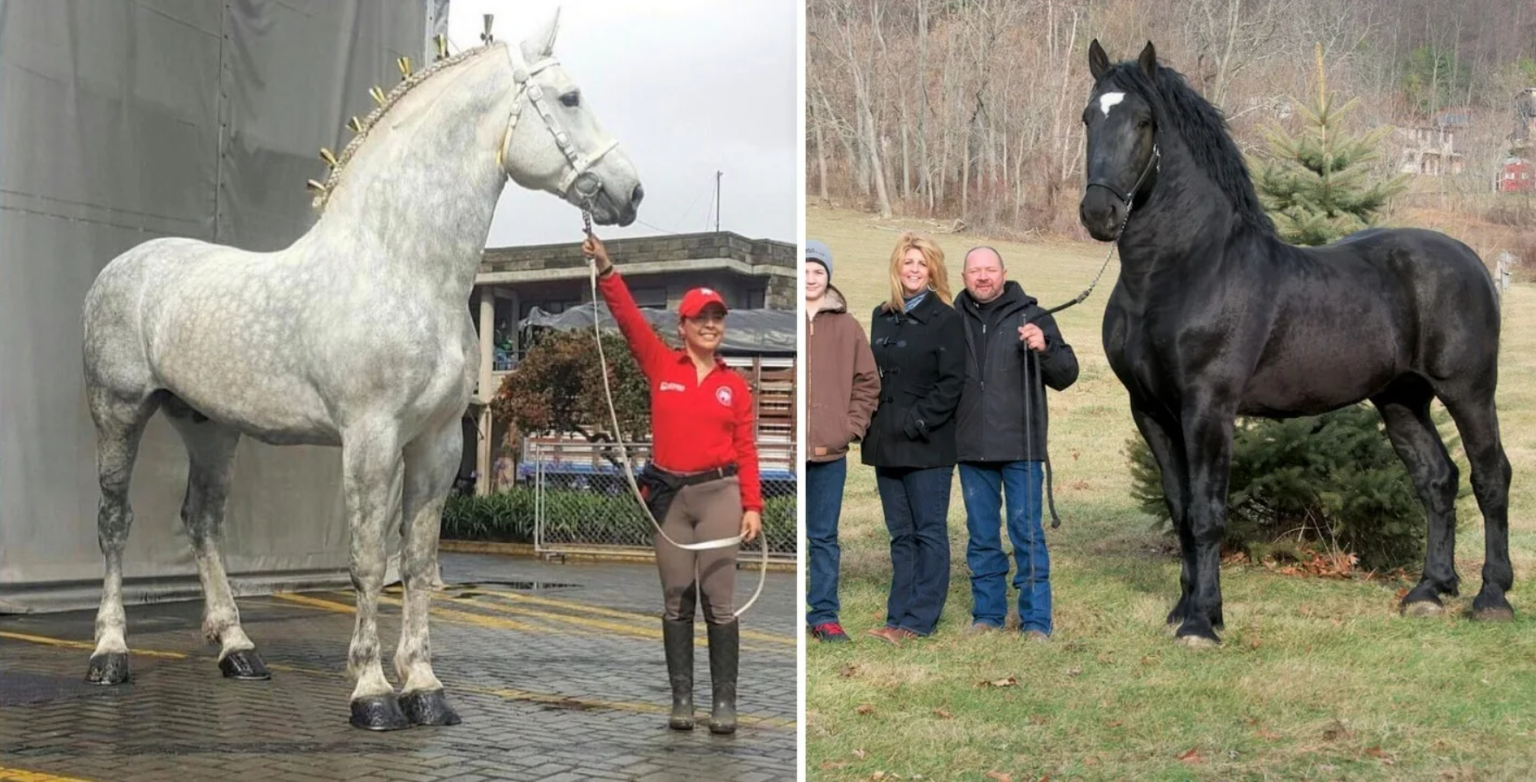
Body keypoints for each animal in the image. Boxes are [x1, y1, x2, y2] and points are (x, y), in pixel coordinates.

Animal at [79, 10, 643, 729]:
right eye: (570, 98)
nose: (630, 192)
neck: (401, 266)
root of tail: (122, 267)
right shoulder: (370, 440)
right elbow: (370, 562)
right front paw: (372, 693)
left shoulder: (437, 443)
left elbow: (420, 560)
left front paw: (425, 690)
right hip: (119, 412)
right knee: (114, 522)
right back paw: (110, 653)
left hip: (210, 427)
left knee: (202, 521)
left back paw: (238, 649)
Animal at [1078, 40, 1512, 648]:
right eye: (1089, 118)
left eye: (1143, 121)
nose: (1100, 213)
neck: (1183, 270)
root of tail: (1471, 258)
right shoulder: (1151, 411)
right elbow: (1181, 509)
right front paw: (1187, 606)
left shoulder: (1208, 409)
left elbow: (1208, 513)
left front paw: (1202, 622)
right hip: (1402, 399)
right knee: (1437, 480)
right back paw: (1429, 591)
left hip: (1468, 392)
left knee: (1490, 476)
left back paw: (1492, 596)